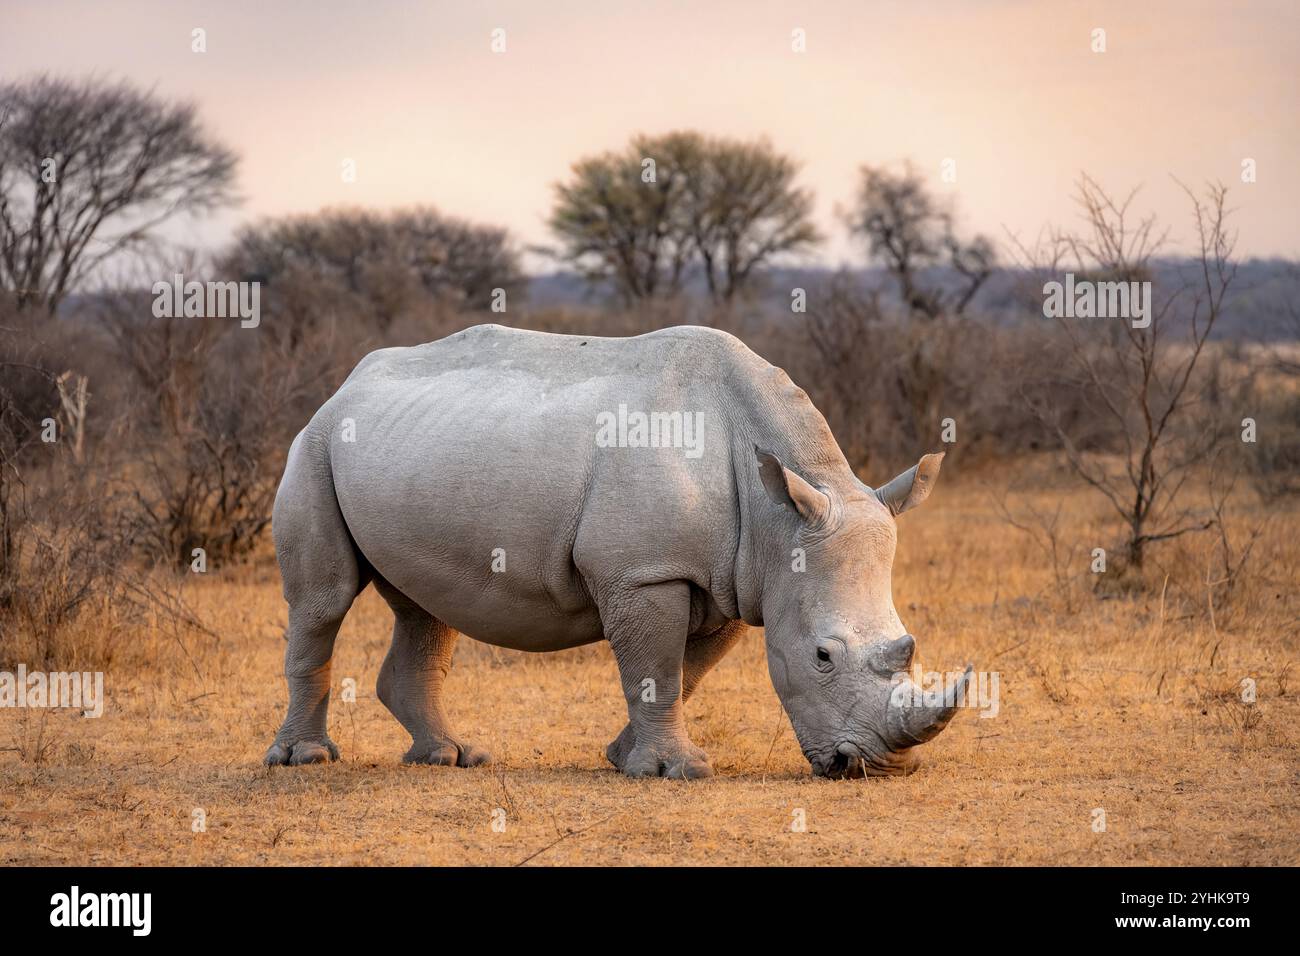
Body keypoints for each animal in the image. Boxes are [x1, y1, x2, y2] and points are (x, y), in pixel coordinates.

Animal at [265, 324, 971, 779]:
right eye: (823, 656)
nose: (878, 767)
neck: (779, 517)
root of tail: (343, 386)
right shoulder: (645, 572)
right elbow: (656, 666)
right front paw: (674, 771)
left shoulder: (735, 577)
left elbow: (685, 670)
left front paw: (623, 757)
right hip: (316, 443)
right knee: (324, 601)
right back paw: (305, 761)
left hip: (405, 449)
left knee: (425, 611)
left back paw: (451, 758)